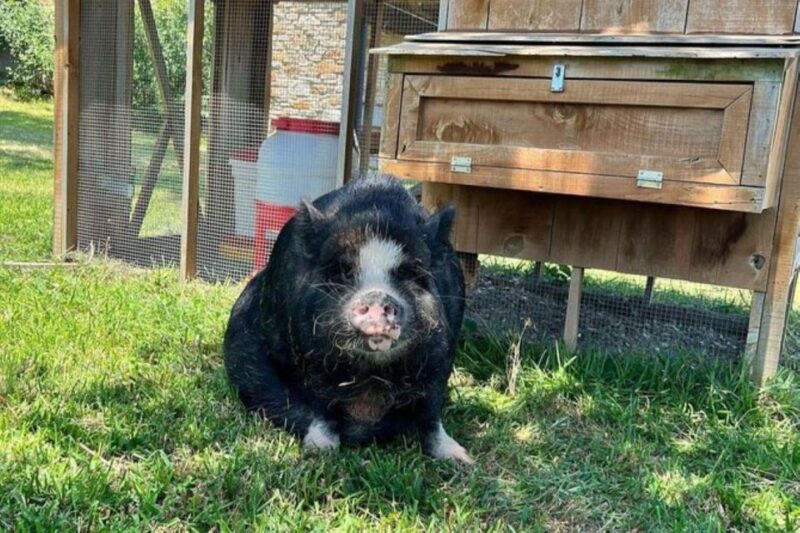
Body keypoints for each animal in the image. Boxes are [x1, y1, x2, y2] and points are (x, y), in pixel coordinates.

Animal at [223, 174, 472, 463]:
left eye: (409, 272)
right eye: (341, 271)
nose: (376, 295)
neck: (371, 375)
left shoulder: (440, 361)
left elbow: (431, 415)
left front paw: (462, 459)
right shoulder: (308, 355)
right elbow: (321, 406)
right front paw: (318, 451)